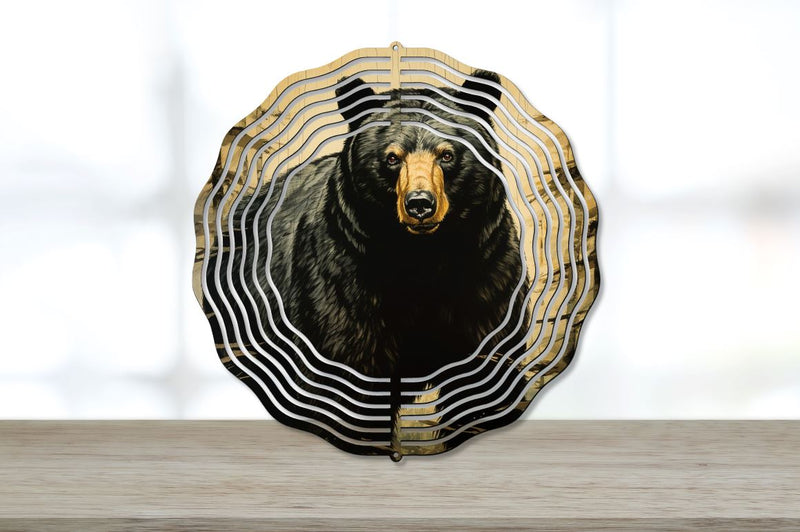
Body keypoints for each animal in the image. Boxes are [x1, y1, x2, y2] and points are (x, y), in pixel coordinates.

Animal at [233, 70, 530, 382]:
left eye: (447, 154)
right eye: (392, 158)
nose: (420, 204)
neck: (425, 258)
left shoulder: (489, 277)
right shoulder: (343, 281)